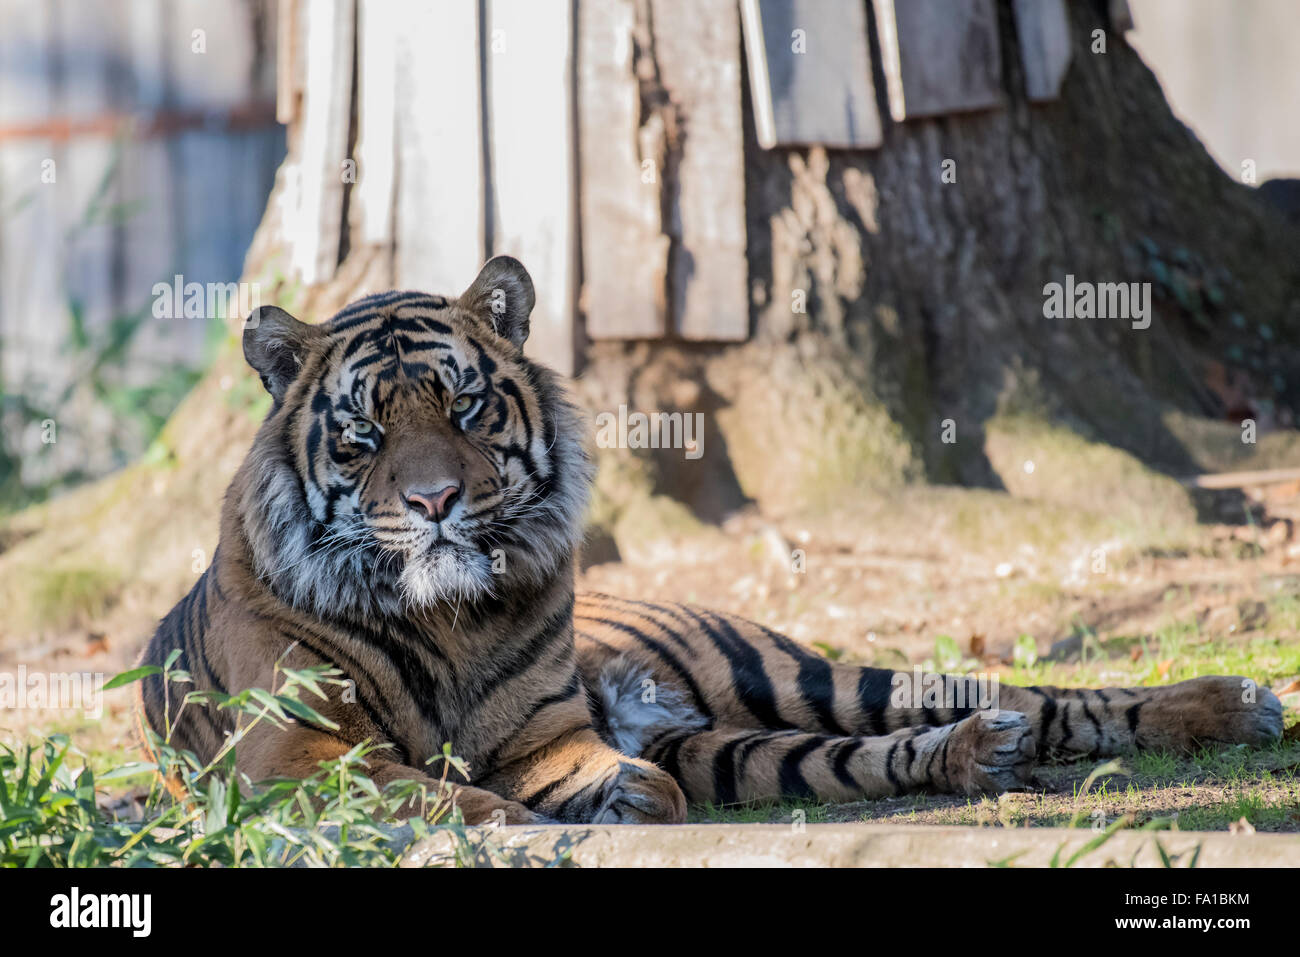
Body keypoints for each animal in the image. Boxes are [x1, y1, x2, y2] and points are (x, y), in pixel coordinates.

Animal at [136, 256, 1285, 825]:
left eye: (463, 407)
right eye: (364, 434)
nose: (434, 502)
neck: (445, 616)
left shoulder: (544, 739)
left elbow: (540, 782)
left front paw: (606, 808)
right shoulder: (292, 754)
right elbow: (440, 796)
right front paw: (535, 820)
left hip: (791, 677)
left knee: (1039, 697)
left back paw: (1229, 703)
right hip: (739, 743)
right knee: (875, 756)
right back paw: (976, 756)